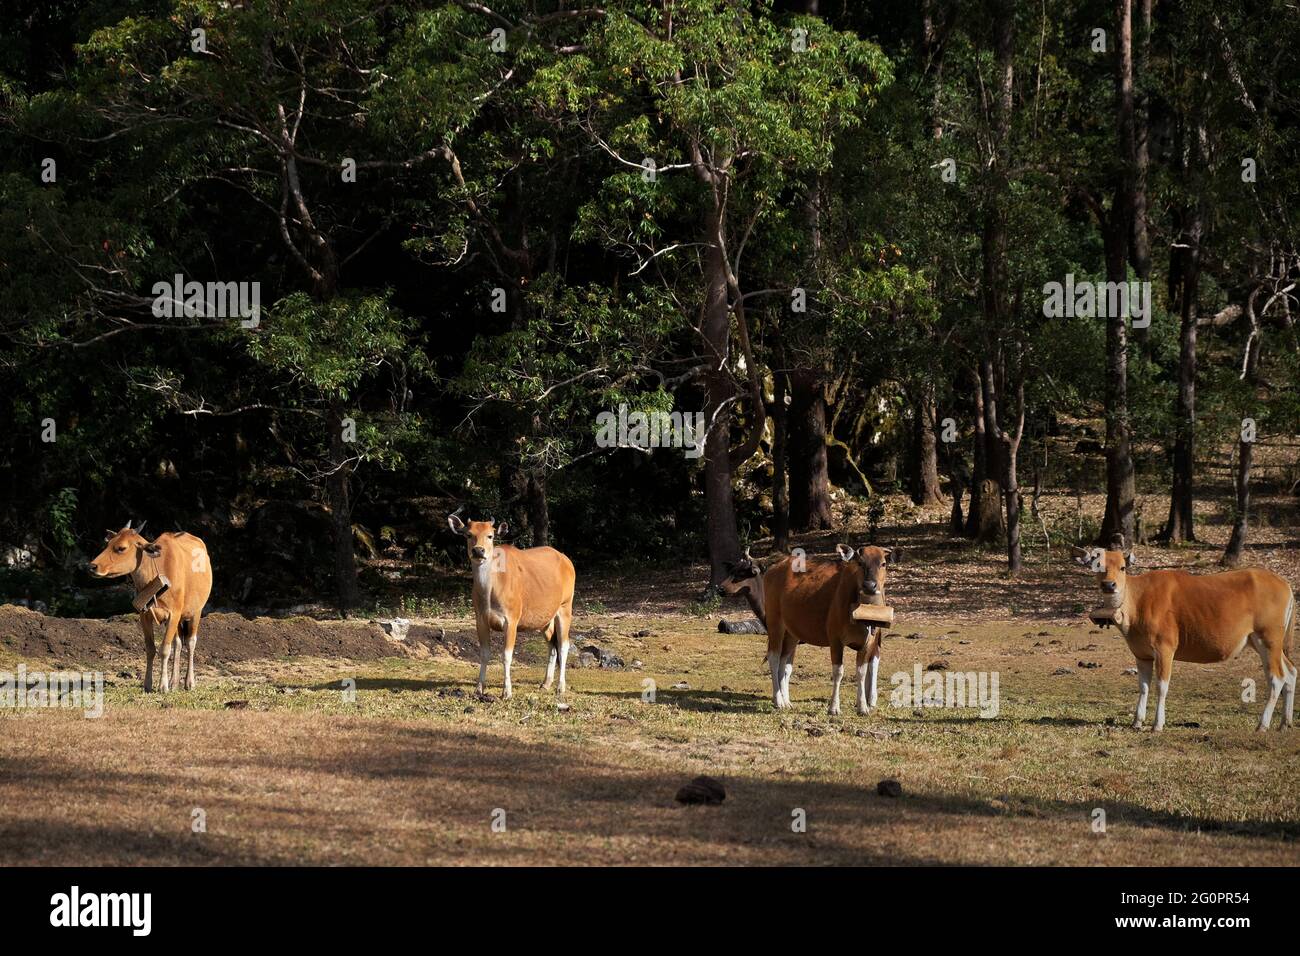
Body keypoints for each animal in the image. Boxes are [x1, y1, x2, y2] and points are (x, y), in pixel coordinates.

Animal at [89, 523, 213, 693]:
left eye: (121, 548)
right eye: (108, 544)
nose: (93, 566)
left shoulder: (174, 614)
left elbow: (164, 650)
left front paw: (162, 686)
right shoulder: (145, 615)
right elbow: (150, 649)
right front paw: (148, 684)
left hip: (195, 612)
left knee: (190, 642)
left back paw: (189, 682)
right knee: (178, 643)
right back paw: (174, 682)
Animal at [447, 514, 577, 698]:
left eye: (490, 536)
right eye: (468, 534)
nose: (478, 551)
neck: (491, 589)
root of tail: (567, 561)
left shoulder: (511, 620)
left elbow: (506, 656)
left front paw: (507, 691)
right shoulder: (481, 620)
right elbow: (484, 654)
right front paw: (479, 688)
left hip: (565, 608)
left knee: (563, 646)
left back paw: (560, 687)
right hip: (545, 618)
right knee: (552, 645)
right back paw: (545, 683)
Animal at [723, 544, 892, 715]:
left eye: (883, 564)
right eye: (860, 563)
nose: (870, 586)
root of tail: (774, 569)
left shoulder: (867, 643)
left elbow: (861, 672)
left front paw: (862, 707)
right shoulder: (835, 640)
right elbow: (838, 672)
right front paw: (834, 707)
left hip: (791, 634)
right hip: (776, 624)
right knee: (774, 658)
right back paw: (779, 701)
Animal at [1072, 544, 1296, 731]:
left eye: (1122, 567)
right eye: (1098, 566)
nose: (1109, 585)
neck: (1137, 602)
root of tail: (1284, 583)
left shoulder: (1165, 648)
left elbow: (1161, 687)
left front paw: (1157, 724)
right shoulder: (1142, 655)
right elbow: (1143, 687)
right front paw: (1137, 722)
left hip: (1269, 639)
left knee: (1276, 678)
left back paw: (1263, 725)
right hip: (1263, 643)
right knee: (1291, 672)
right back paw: (1285, 723)